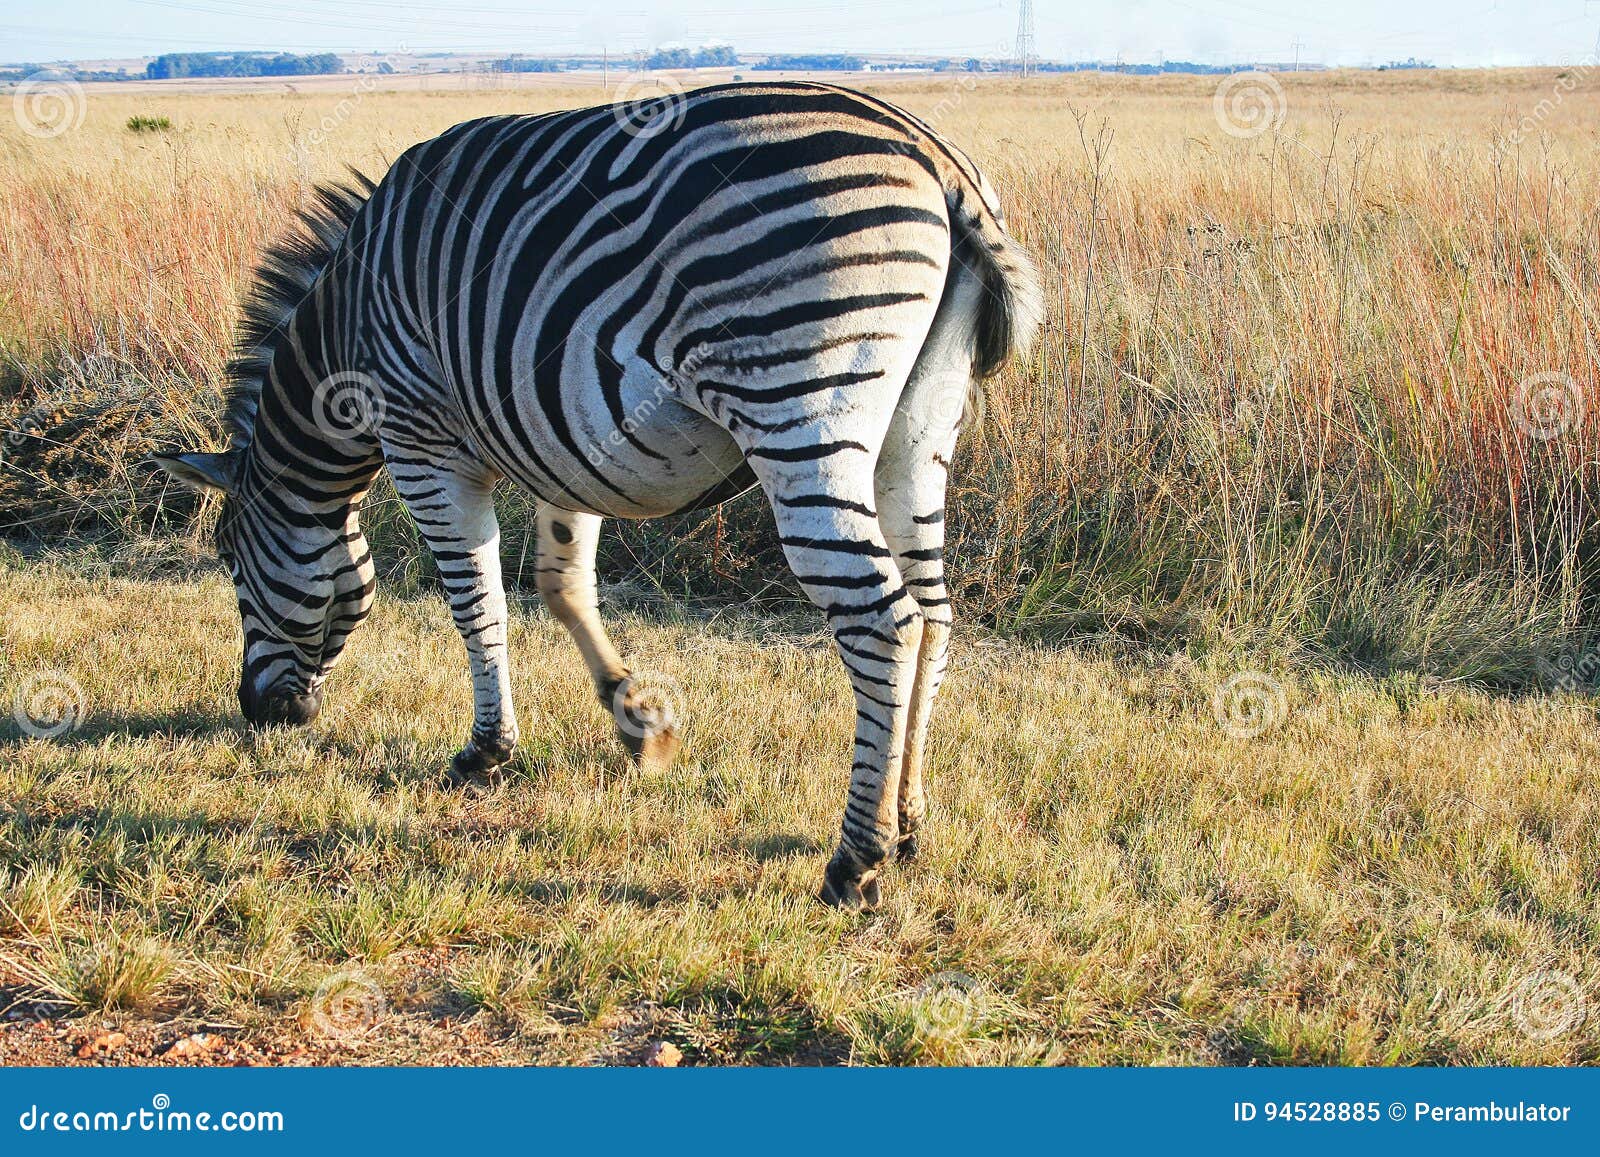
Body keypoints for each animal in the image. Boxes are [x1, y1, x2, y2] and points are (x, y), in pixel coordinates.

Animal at [152, 81, 1042, 910]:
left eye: (231, 564)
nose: (256, 711)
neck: (345, 335)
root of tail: (937, 158)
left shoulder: (421, 437)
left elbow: (475, 599)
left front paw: (487, 750)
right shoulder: (566, 442)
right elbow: (562, 586)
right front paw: (636, 717)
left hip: (797, 407)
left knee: (883, 618)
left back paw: (855, 859)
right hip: (918, 426)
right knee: (934, 613)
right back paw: (910, 822)